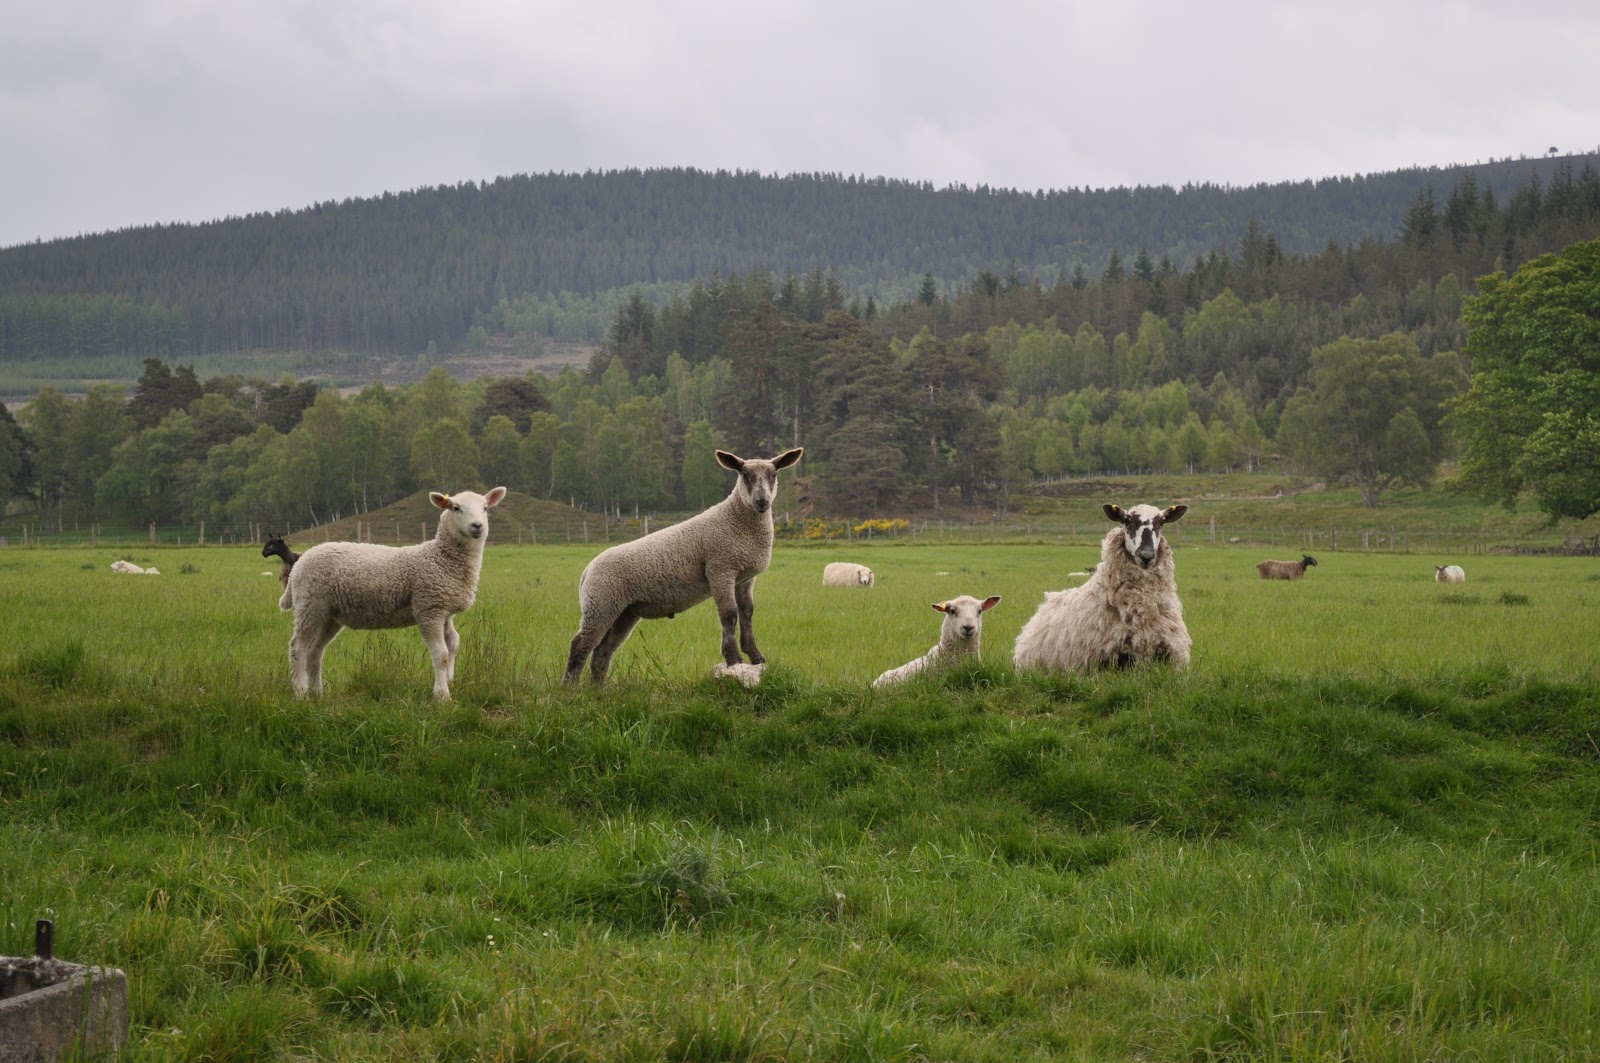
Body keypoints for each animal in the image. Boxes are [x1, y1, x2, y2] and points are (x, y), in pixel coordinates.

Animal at [278, 486, 506, 699]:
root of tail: (299, 563)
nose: (477, 526)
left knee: (315, 652)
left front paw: (449, 680)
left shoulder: (445, 610)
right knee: (297, 648)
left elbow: (454, 644)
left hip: (329, 615)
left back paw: (317, 694)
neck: (441, 558)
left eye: (485, 508)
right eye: (456, 508)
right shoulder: (428, 608)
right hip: (310, 604)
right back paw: (301, 693)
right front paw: (442, 695)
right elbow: (441, 653)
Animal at [563, 448, 803, 685]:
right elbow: (729, 614)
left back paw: (598, 687)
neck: (737, 521)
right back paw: (570, 687)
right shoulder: (720, 569)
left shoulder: (745, 577)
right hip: (600, 603)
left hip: (624, 612)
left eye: (774, 475)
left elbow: (747, 614)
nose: (762, 502)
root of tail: (586, 571)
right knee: (580, 644)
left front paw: (755, 657)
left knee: (602, 651)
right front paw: (733, 659)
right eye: (744, 475)